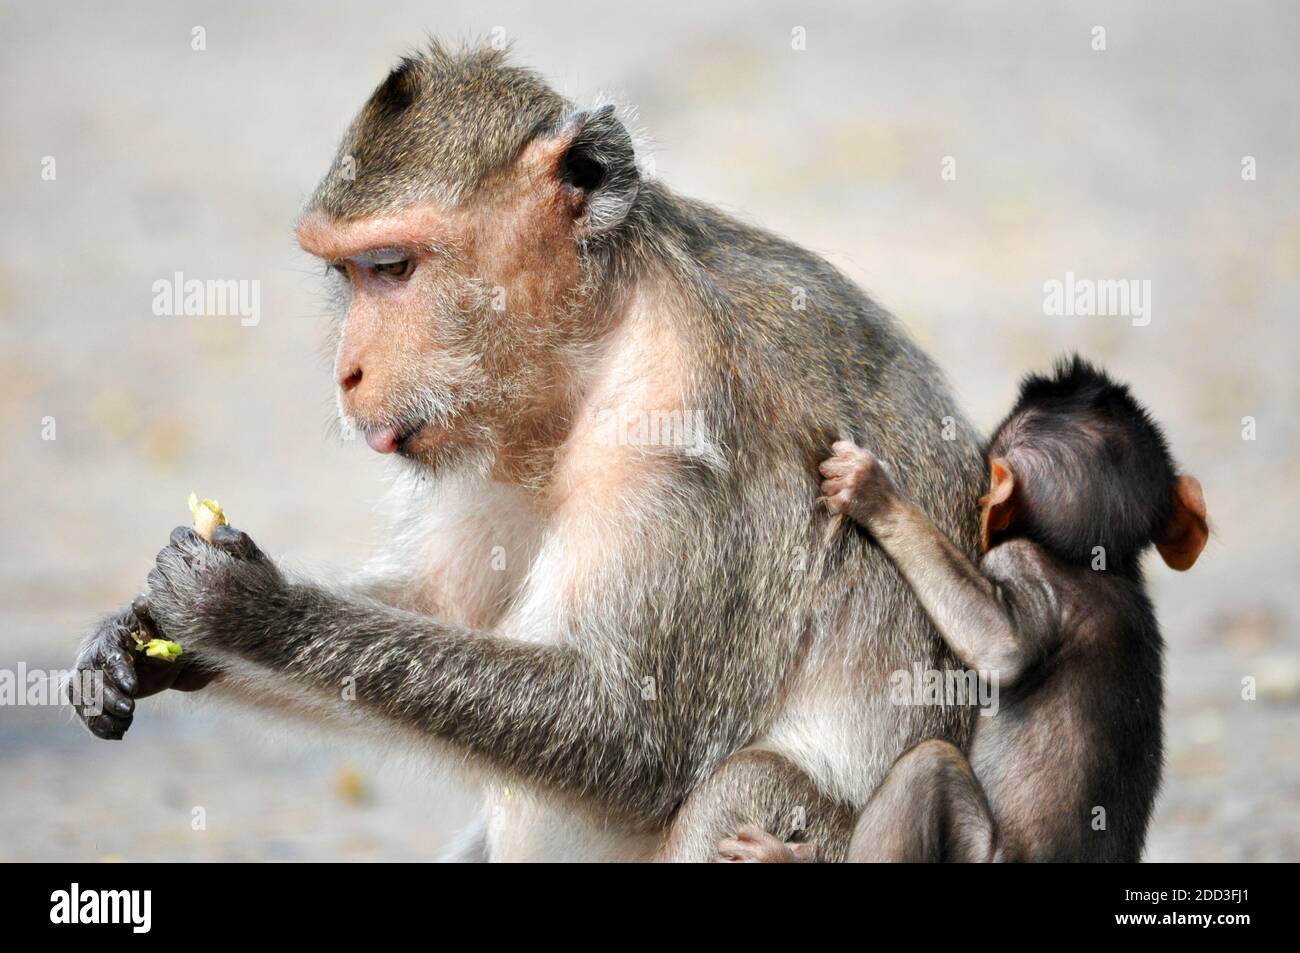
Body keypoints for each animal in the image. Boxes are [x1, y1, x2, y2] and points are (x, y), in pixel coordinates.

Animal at [69, 42, 986, 862]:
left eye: (391, 267)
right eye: (346, 274)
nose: (347, 374)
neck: (603, 330)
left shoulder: (680, 431)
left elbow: (632, 731)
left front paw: (252, 610)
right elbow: (445, 602)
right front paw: (140, 636)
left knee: (747, 784)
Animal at [721, 355, 1209, 862]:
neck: (1103, 565)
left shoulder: (1020, 559)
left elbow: (1002, 648)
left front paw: (878, 498)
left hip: (980, 855)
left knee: (928, 766)